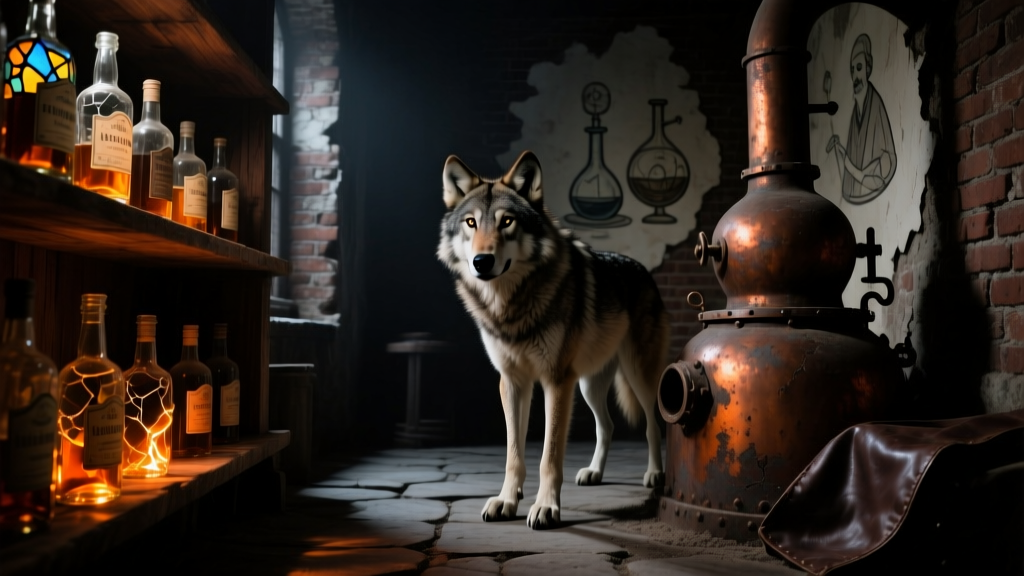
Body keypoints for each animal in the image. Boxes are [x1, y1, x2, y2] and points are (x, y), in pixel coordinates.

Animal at [437, 150, 669, 529]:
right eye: (471, 223)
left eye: (507, 222)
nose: (482, 261)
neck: (510, 306)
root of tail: (642, 270)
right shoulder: (513, 382)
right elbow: (513, 453)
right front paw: (507, 500)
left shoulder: (556, 381)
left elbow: (549, 456)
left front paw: (545, 507)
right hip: (588, 385)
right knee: (607, 425)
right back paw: (594, 473)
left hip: (638, 377)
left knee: (652, 424)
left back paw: (655, 474)